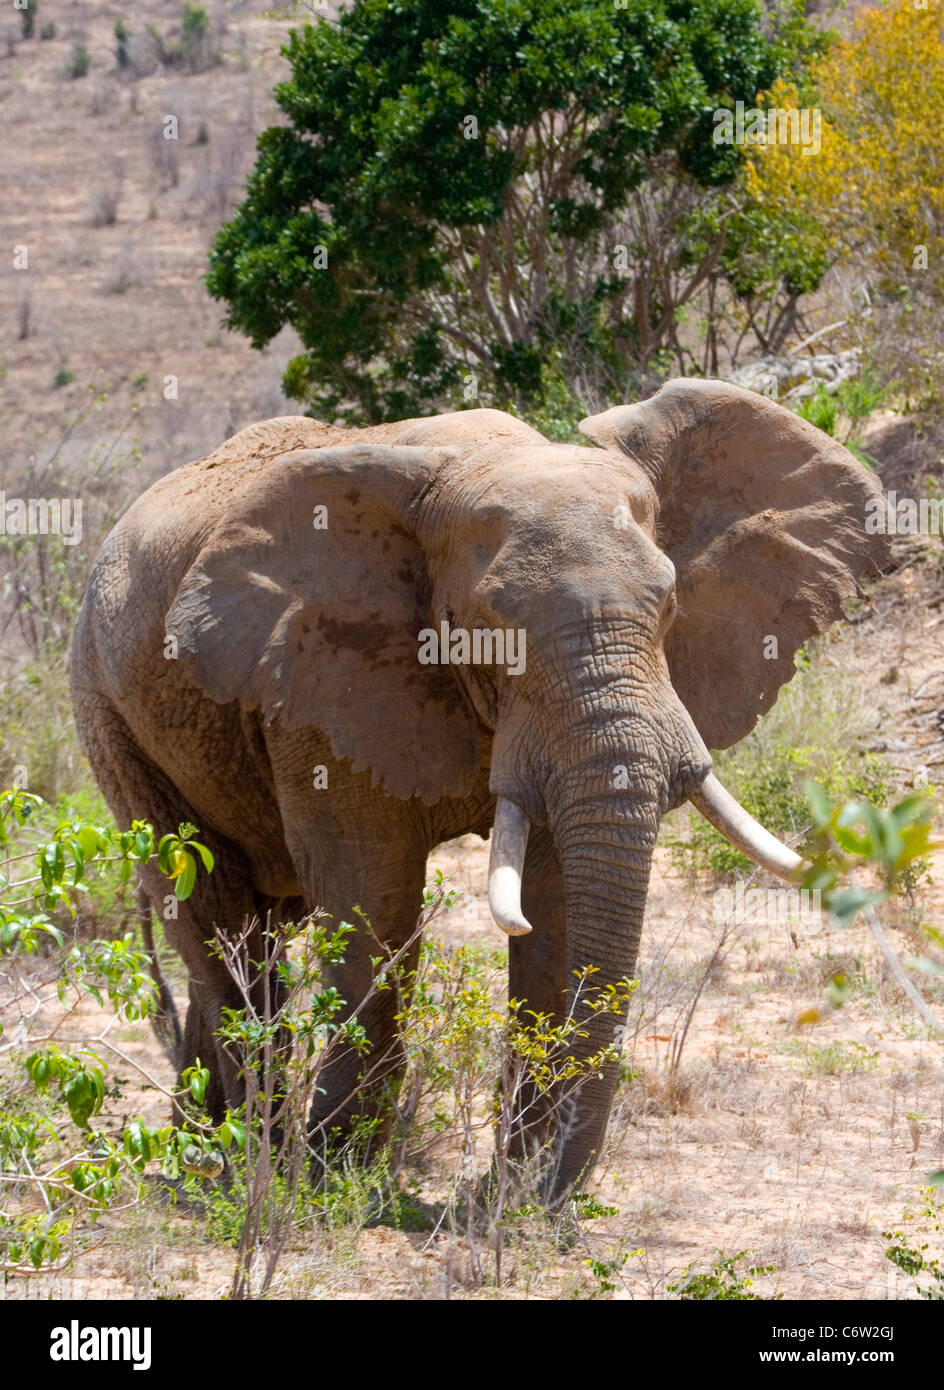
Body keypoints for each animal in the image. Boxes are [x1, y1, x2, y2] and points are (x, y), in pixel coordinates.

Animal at [69, 378, 890, 1200]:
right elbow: (373, 898)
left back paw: (206, 1145)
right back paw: (236, 1163)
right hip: (106, 708)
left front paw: (516, 1188)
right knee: (212, 914)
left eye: (669, 606)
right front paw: (338, 1179)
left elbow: (555, 914)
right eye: (490, 626)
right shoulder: (315, 685)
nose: (549, 1196)